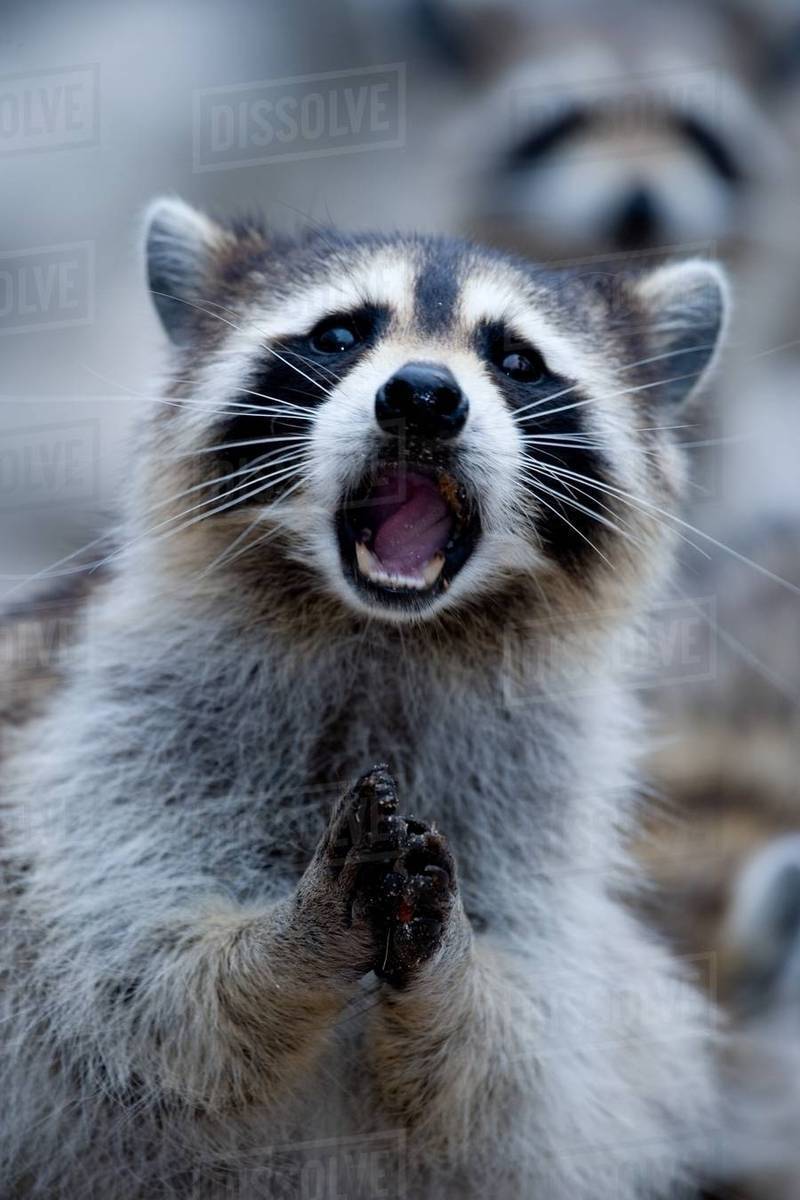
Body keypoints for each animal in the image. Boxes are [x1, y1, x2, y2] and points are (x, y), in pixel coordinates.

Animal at [0, 199, 728, 1199]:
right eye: (340, 335)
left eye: (518, 361)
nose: (422, 394)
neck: (386, 631)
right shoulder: (117, 728)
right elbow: (128, 967)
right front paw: (284, 946)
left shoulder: (540, 800)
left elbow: (533, 1039)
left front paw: (458, 968)